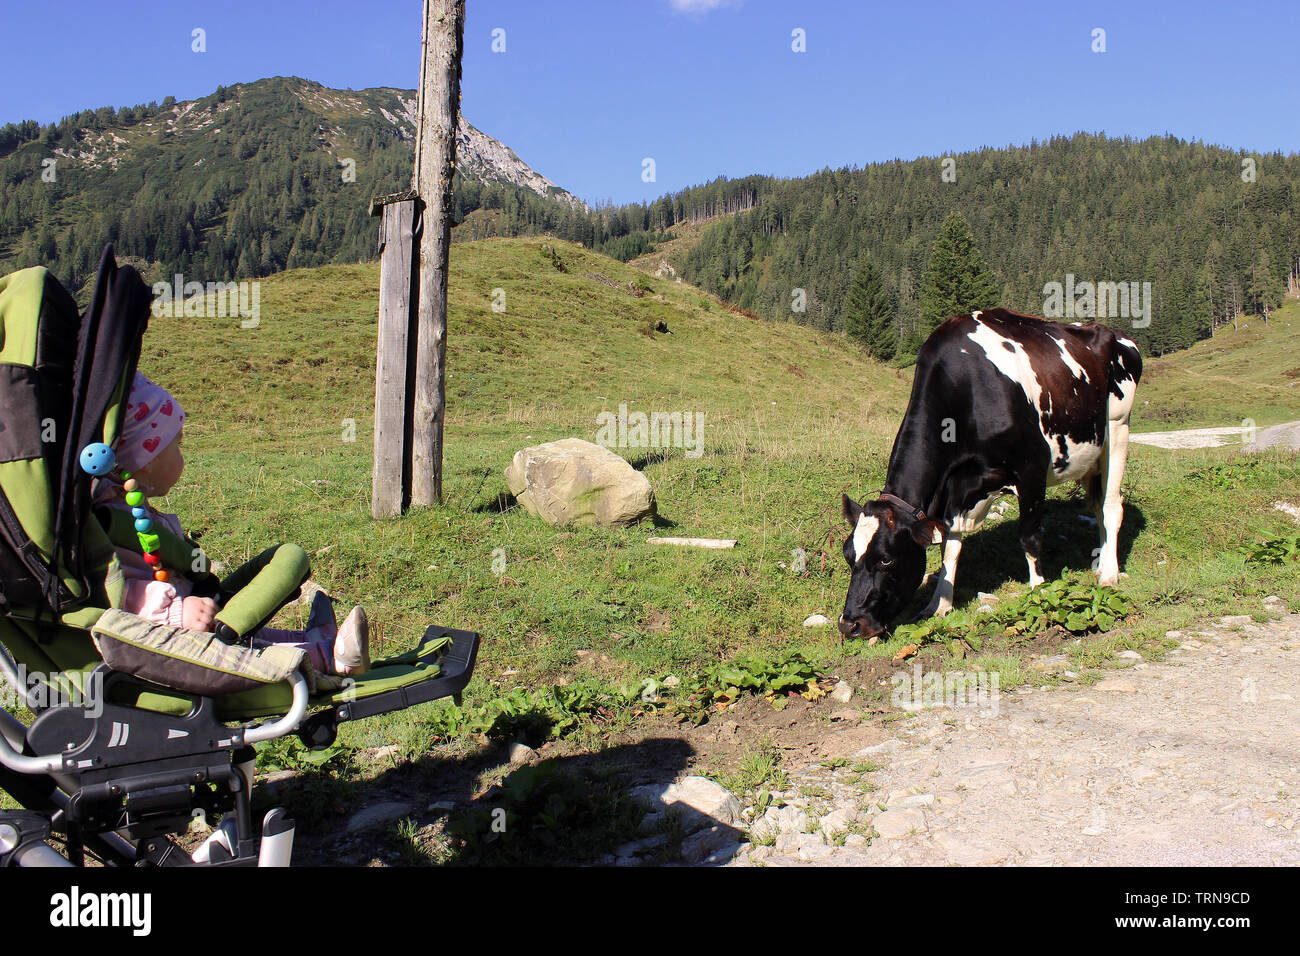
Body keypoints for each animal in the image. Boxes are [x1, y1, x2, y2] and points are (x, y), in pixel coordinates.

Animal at [839, 308, 1142, 640]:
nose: (849, 624)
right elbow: (950, 547)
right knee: (1097, 505)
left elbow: (1030, 537)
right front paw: (939, 604)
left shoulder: (1031, 468)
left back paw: (1109, 574)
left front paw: (1038, 593)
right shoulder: (955, 487)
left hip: (1117, 427)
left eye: (886, 558)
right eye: (848, 555)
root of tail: (1111, 332)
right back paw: (1100, 563)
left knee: (1111, 506)